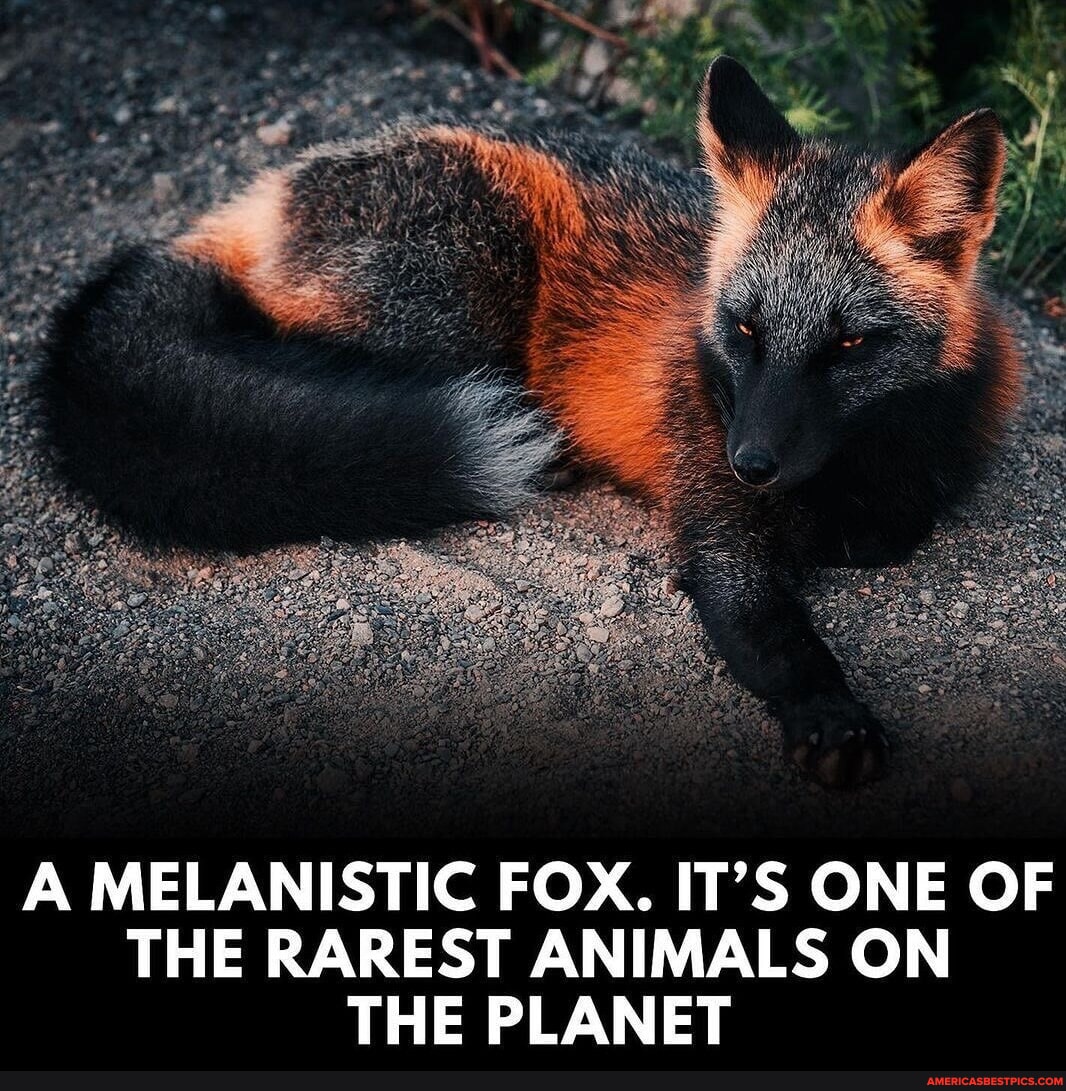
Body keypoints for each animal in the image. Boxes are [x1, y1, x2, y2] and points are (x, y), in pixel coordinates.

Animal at [37, 57, 1021, 787]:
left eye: (848, 344)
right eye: (745, 330)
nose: (751, 460)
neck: (858, 463)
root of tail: (264, 194)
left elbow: (896, 528)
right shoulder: (717, 526)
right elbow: (775, 632)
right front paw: (830, 713)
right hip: (463, 299)